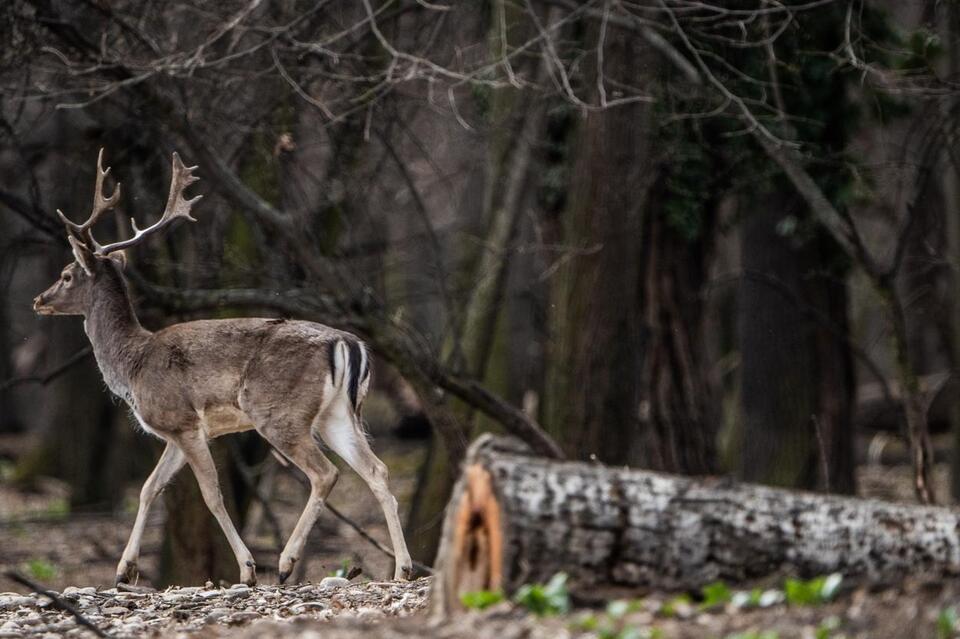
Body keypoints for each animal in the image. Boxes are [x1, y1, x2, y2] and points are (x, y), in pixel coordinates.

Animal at [32, 149, 413, 587]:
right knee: (377, 470)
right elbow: (149, 488)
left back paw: (285, 563)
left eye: (66, 274)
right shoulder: (178, 432)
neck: (132, 365)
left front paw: (247, 568)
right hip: (336, 414)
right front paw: (124, 571)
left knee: (325, 473)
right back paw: (403, 568)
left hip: (279, 412)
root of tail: (350, 344)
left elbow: (211, 494)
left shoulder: (182, 421)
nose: (38, 300)